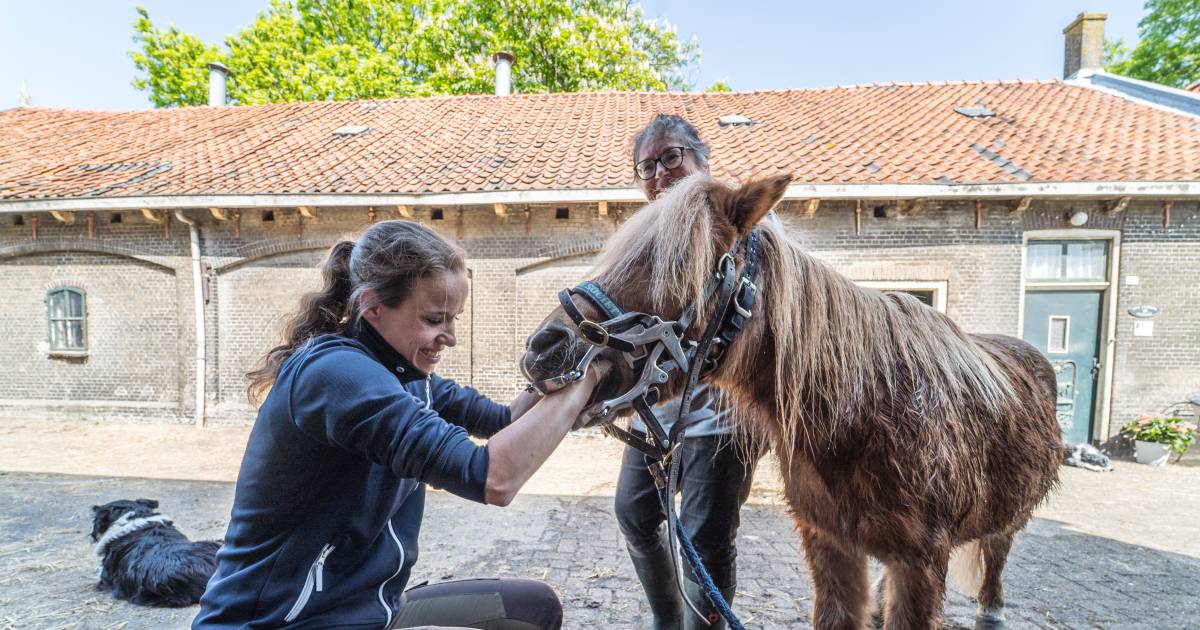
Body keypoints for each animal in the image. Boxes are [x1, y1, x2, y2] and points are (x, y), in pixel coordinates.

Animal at [520, 173, 1062, 629]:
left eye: (674, 265)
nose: (541, 350)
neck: (866, 415)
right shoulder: (830, 545)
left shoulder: (922, 563)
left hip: (1004, 523)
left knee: (997, 557)